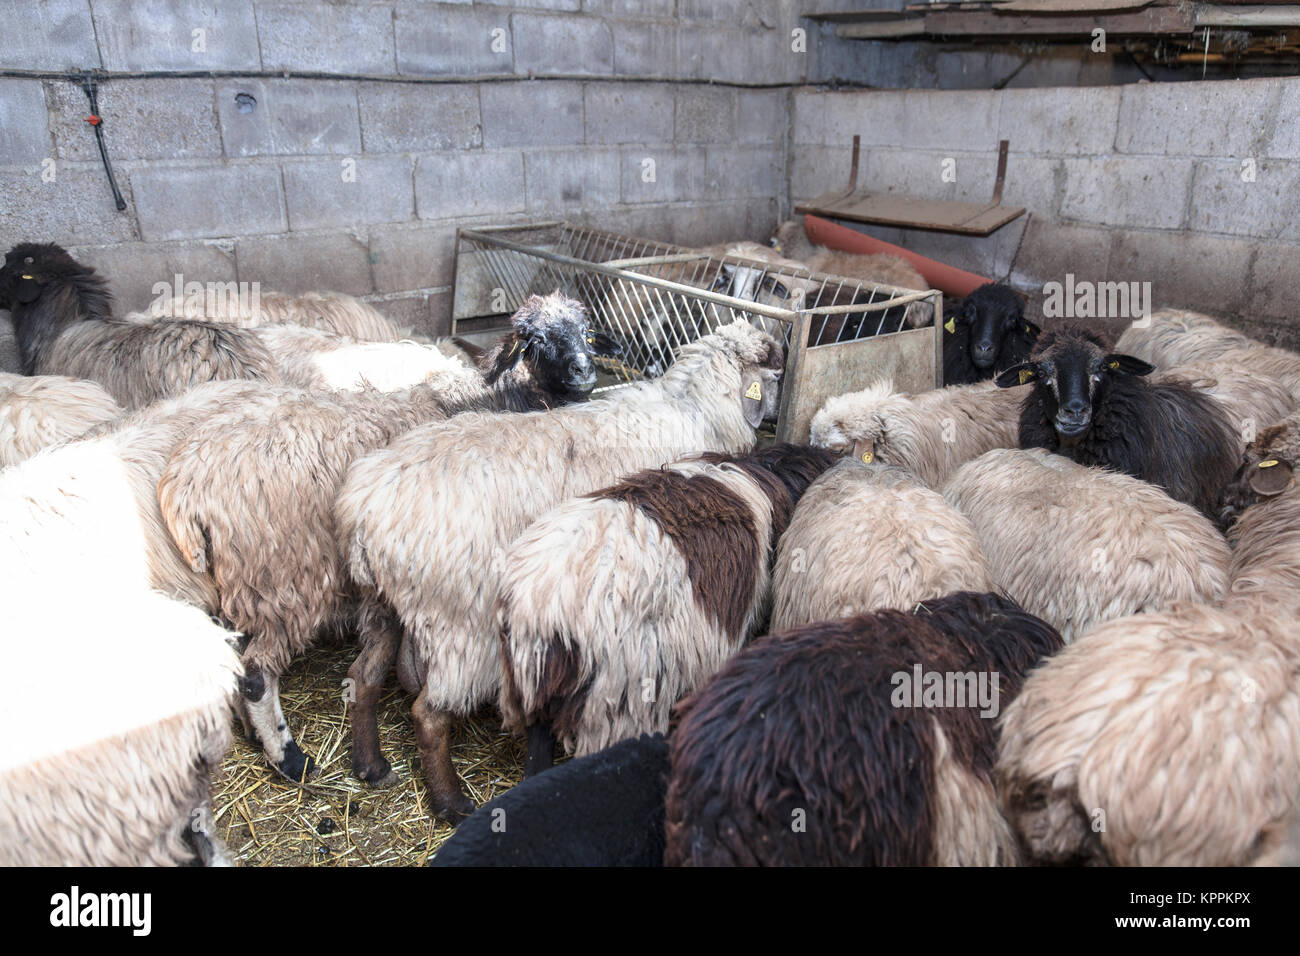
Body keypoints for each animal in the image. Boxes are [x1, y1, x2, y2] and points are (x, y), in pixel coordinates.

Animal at [156, 293, 614, 780]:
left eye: (586, 332)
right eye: (535, 340)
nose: (584, 371)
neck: (494, 398)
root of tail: (185, 482)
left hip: (240, 587)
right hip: (282, 581)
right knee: (258, 675)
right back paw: (290, 757)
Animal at [336, 319, 783, 819]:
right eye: (776, 375)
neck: (694, 406)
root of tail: (366, 511)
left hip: (381, 606)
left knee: (364, 676)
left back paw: (371, 766)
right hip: (459, 627)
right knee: (428, 715)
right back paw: (452, 803)